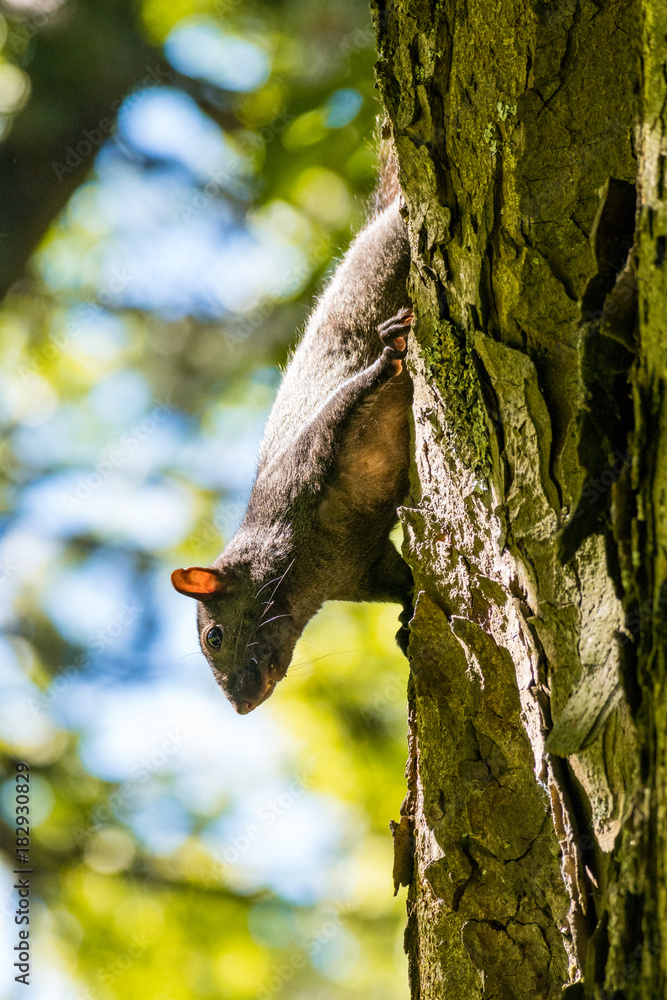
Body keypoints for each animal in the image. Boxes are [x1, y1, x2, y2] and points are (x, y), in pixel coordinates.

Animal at [171, 173, 414, 714]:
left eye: (214, 637)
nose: (240, 705)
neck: (309, 568)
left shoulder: (310, 456)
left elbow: (353, 392)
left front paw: (388, 354)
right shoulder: (364, 569)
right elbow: (405, 583)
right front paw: (410, 622)